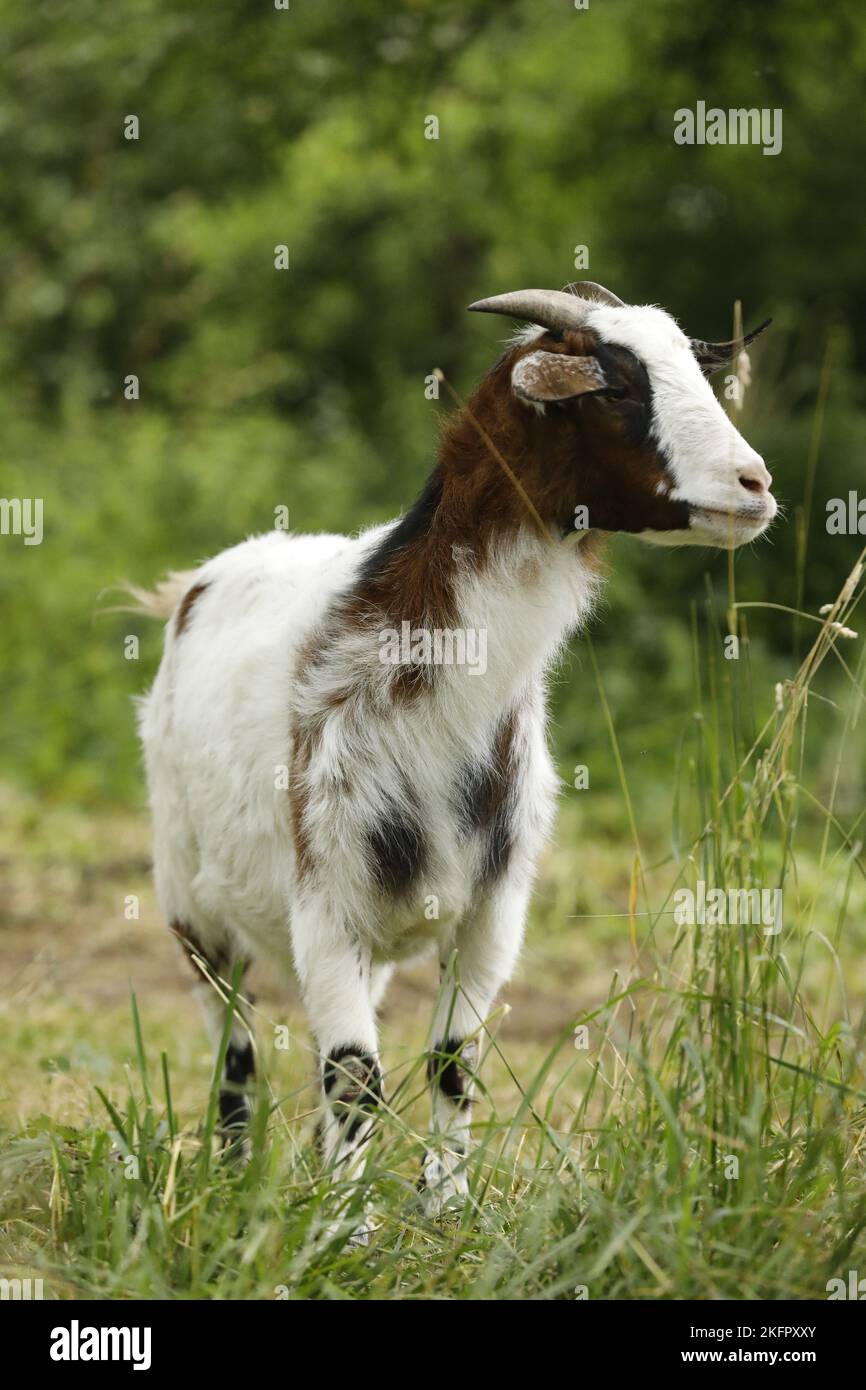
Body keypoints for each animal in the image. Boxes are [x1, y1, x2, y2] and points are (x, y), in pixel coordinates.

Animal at [134, 281, 775, 1238]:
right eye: (617, 387)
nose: (755, 485)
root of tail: (199, 580)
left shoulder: (491, 911)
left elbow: (450, 1059)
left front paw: (444, 1210)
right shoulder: (327, 901)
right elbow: (356, 1075)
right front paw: (346, 1233)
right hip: (193, 901)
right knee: (235, 1044)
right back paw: (231, 1179)